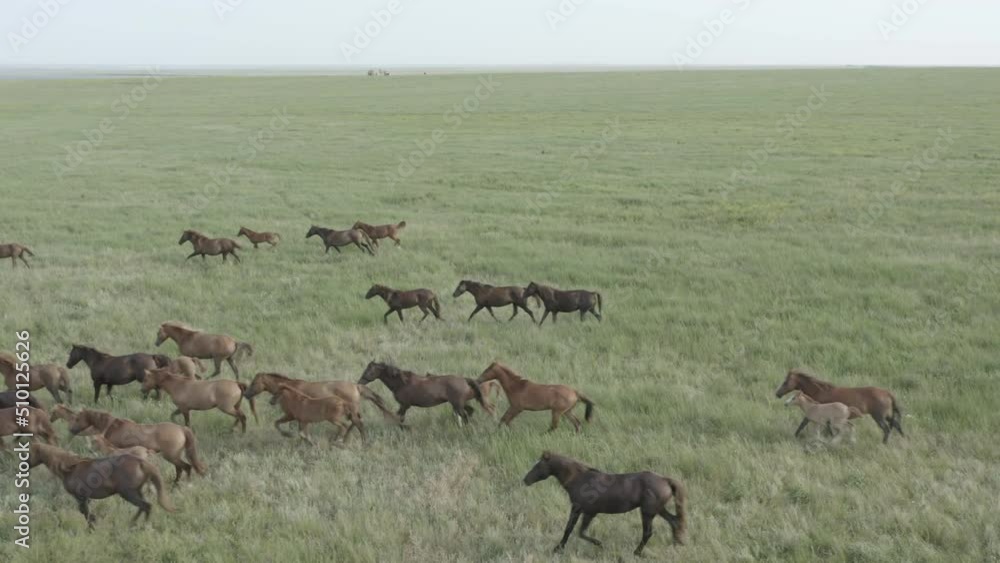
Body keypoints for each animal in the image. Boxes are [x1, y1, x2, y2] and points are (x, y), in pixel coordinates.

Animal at [29, 443, 174, 528]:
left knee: (146, 506)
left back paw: (141, 526)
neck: (69, 467)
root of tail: (142, 462)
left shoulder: (81, 496)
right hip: (137, 491)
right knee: (144, 506)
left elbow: (85, 513)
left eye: (29, 452)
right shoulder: (86, 498)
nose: (26, 465)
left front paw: (92, 527)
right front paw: (94, 522)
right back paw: (132, 524)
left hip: (128, 493)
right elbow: (86, 512)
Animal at [68, 408, 207, 483]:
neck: (112, 426)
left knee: (186, 467)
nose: (71, 430)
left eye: (77, 419)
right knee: (181, 468)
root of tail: (181, 429)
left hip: (171, 456)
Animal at [357, 361, 489, 426]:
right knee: (470, 412)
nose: (359, 382)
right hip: (460, 403)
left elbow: (400, 418)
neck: (402, 383)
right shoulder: (404, 406)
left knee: (466, 415)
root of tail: (464, 380)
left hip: (457, 404)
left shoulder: (405, 405)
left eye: (369, 371)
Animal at [524, 451, 686, 556]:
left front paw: (599, 544)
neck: (579, 479)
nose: (525, 480)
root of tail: (665, 480)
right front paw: (558, 548)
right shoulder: (584, 511)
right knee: (674, 521)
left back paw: (636, 552)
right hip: (658, 509)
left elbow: (576, 531)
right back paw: (676, 543)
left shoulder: (583, 510)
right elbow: (574, 530)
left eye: (538, 466)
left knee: (648, 532)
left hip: (647, 512)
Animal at [776, 369, 904, 444]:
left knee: (887, 429)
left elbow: (803, 425)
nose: (777, 394)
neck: (820, 391)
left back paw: (884, 443)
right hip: (886, 415)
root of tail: (887, 393)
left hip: (878, 416)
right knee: (896, 425)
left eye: (785, 382)